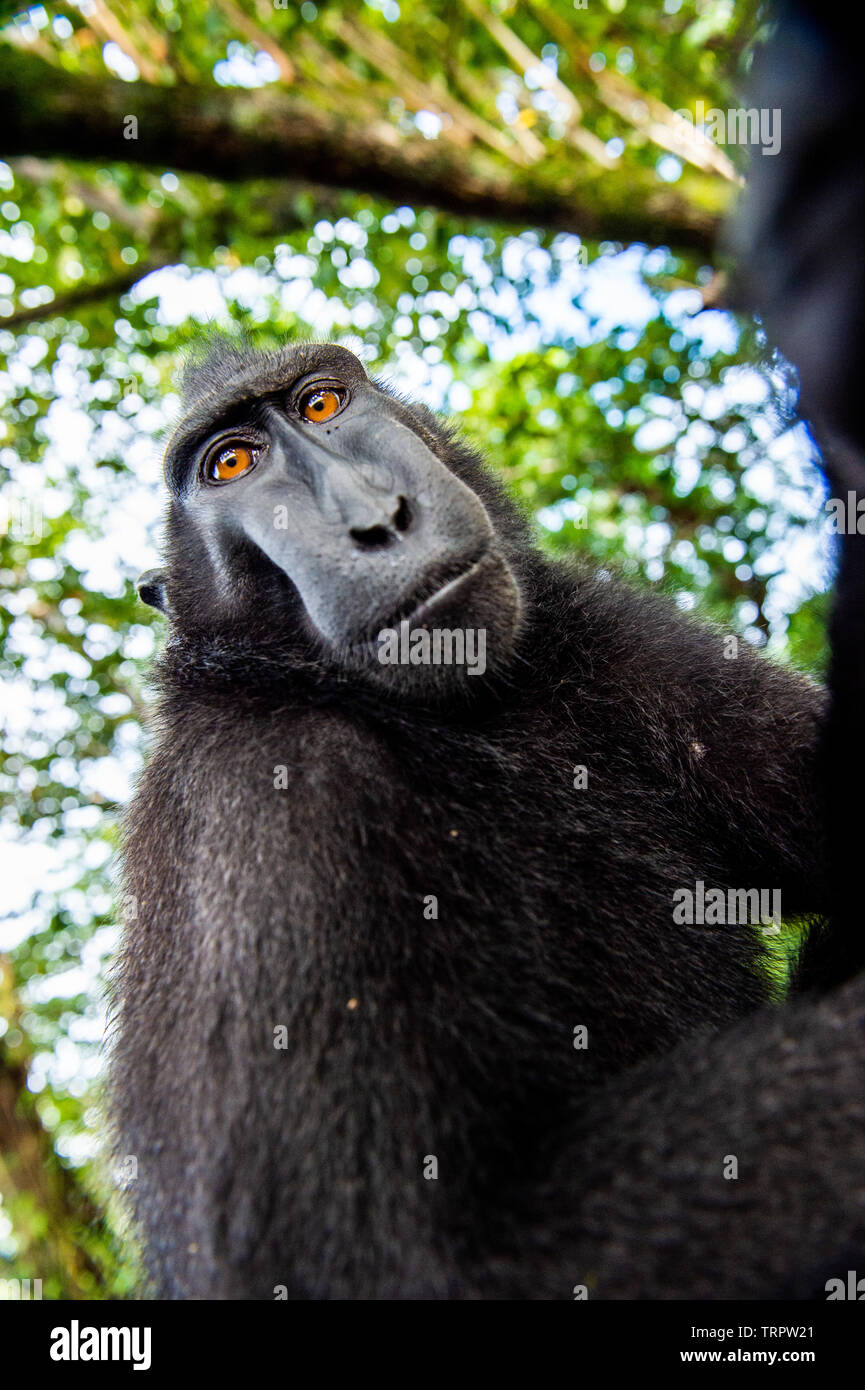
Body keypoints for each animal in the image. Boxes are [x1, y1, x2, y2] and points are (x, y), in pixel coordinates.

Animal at [109, 336, 865, 1301]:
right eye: (231, 465)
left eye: (320, 404)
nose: (377, 517)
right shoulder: (256, 821)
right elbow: (391, 1264)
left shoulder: (592, 625)